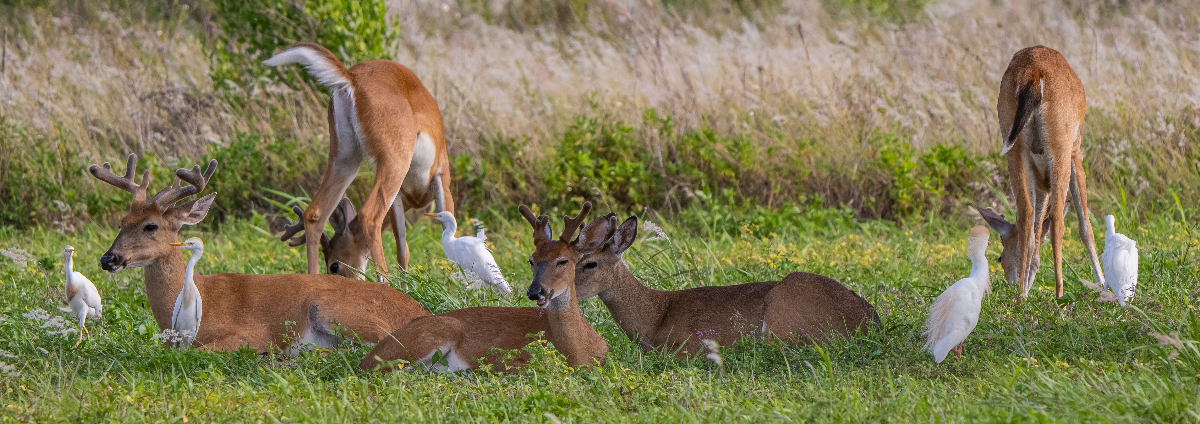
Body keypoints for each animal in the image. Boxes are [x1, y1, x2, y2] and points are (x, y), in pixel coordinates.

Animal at [90, 154, 431, 353]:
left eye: (151, 226)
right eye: (122, 222)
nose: (109, 259)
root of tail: (420, 312)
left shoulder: (249, 334)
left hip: (335, 309)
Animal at [265, 42, 454, 280]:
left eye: (333, 265)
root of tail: (351, 78)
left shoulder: (400, 196)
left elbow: (403, 249)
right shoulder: (441, 178)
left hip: (345, 158)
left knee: (314, 214)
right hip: (394, 162)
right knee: (369, 216)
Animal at [359, 203, 610, 372]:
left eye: (563, 260)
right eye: (531, 260)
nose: (535, 291)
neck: (578, 350)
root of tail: (367, 357)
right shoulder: (509, 358)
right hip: (437, 332)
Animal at [571, 214, 879, 357]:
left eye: (590, 263)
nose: (564, 289)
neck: (655, 316)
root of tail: (869, 324)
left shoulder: (687, 345)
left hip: (784, 312)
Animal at [984, 45, 1105, 300]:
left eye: (1001, 255)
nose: (1010, 282)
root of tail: (1033, 71)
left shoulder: (1039, 182)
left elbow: (1037, 230)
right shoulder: (1075, 154)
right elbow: (1085, 226)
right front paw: (1104, 284)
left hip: (1015, 154)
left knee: (1026, 214)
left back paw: (1020, 296)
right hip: (1060, 154)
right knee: (1058, 218)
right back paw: (1059, 295)